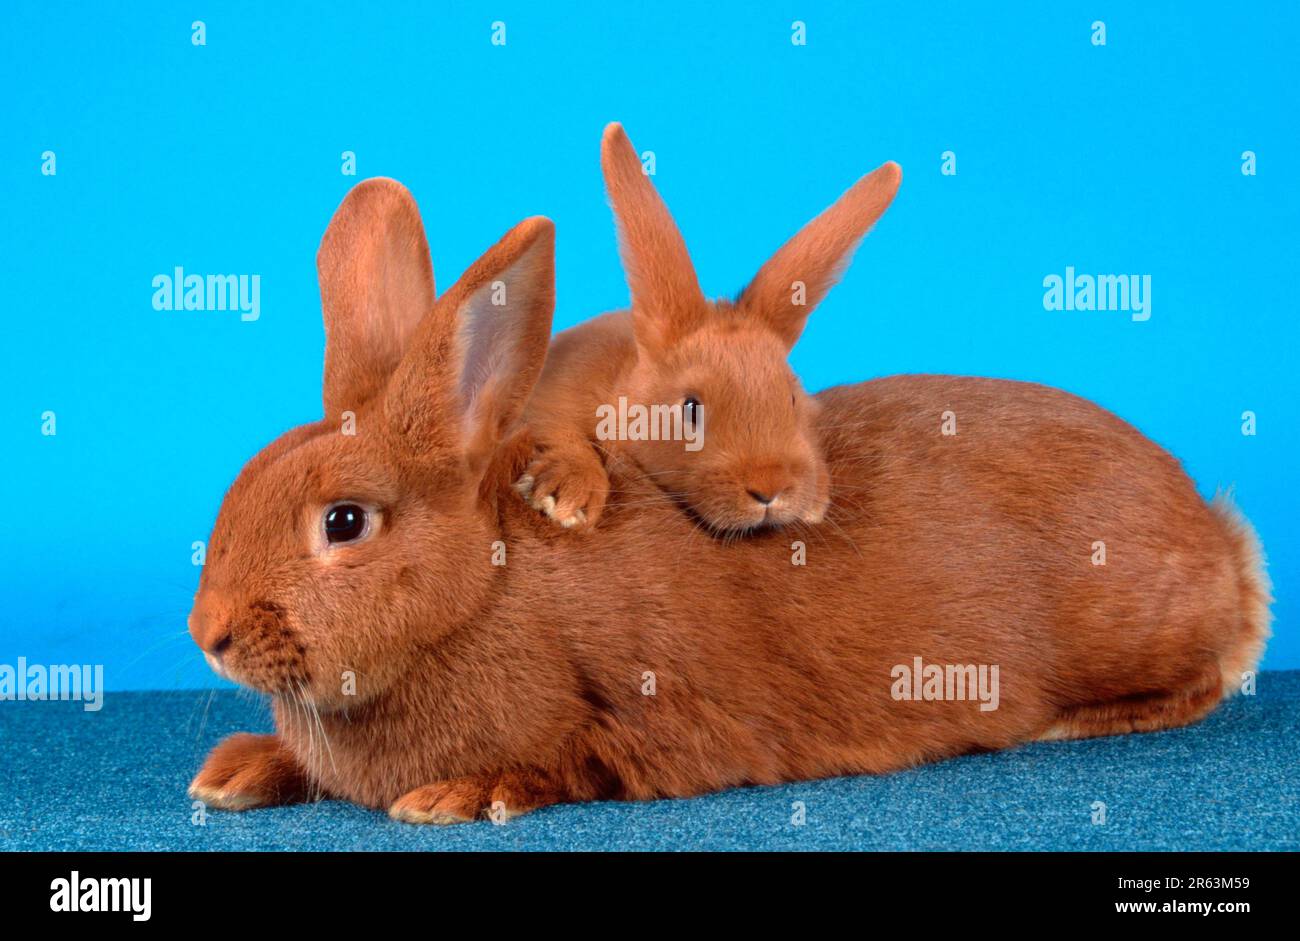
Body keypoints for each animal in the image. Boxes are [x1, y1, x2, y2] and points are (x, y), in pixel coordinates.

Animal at [187, 176, 1270, 825]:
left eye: (344, 521)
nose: (210, 634)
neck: (481, 594)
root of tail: (1221, 538)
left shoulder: (664, 721)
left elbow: (584, 758)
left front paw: (463, 789)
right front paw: (237, 767)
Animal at [514, 124, 900, 534]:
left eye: (792, 399)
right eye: (691, 408)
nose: (769, 489)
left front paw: (815, 498)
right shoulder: (546, 402)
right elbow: (559, 433)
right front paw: (565, 496)